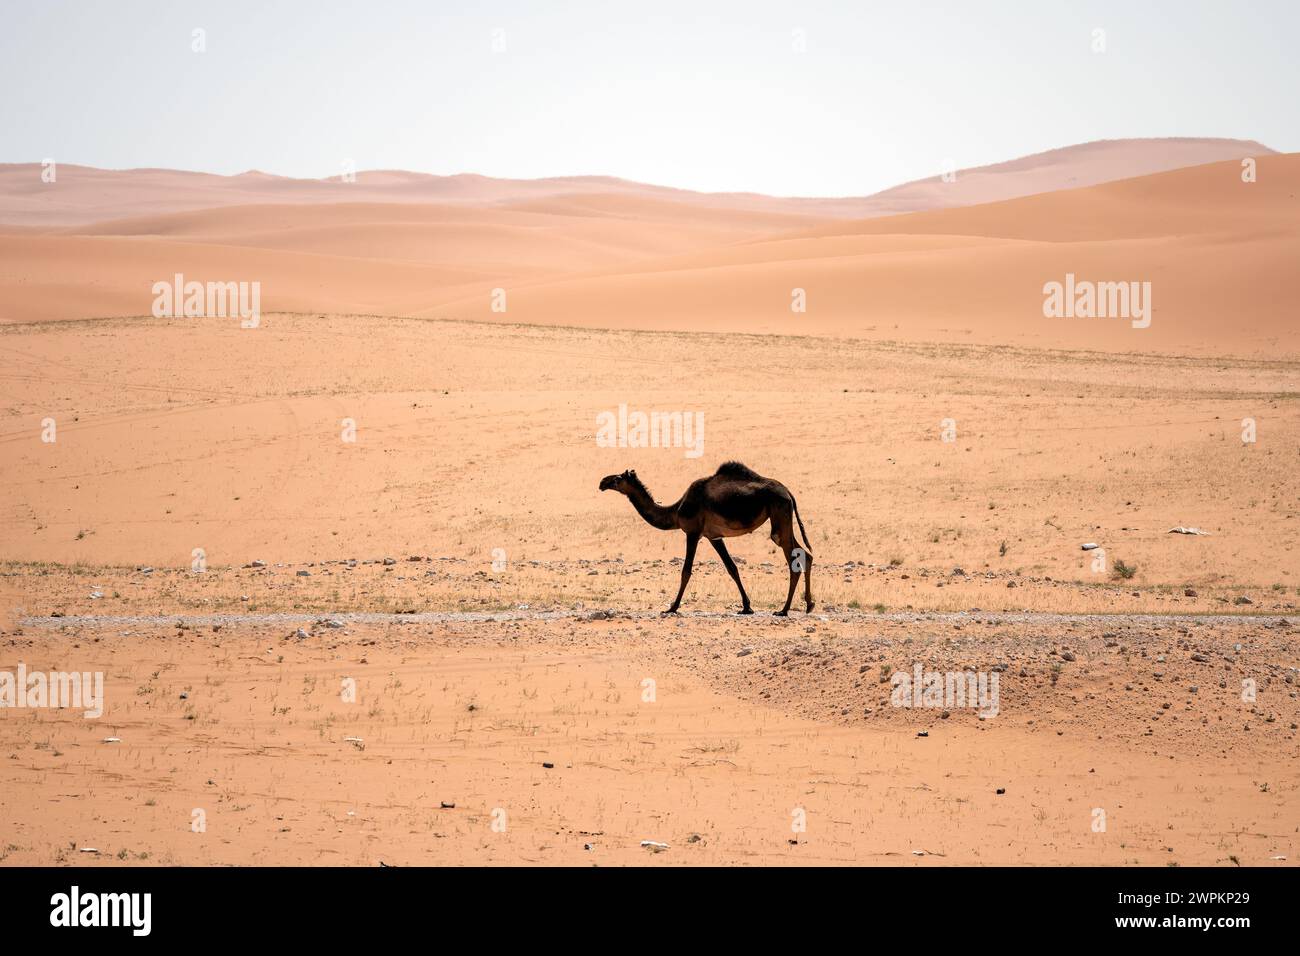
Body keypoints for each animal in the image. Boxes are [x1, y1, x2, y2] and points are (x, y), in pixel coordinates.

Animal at [599, 461, 814, 616]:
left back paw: (784, 610)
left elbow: (686, 571)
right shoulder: (714, 537)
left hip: (779, 514)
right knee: (805, 554)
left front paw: (672, 607)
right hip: (784, 517)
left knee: (792, 556)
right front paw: (746, 607)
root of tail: (788, 492)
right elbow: (732, 568)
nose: (602, 482)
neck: (676, 511)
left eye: (617, 479)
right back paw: (809, 605)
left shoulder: (692, 532)